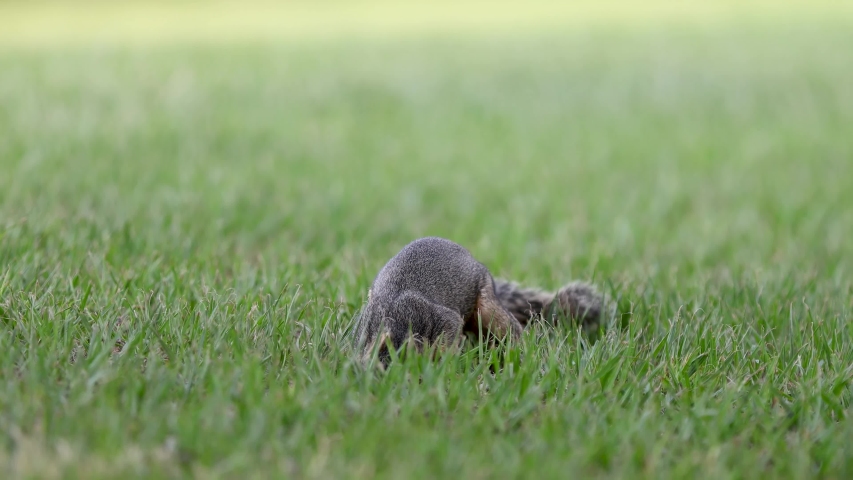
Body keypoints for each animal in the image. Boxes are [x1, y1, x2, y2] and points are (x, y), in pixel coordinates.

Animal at [353, 237, 606, 367]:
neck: (392, 319)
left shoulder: (437, 317)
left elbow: (447, 333)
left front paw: (443, 362)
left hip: (486, 304)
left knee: (508, 326)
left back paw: (520, 350)